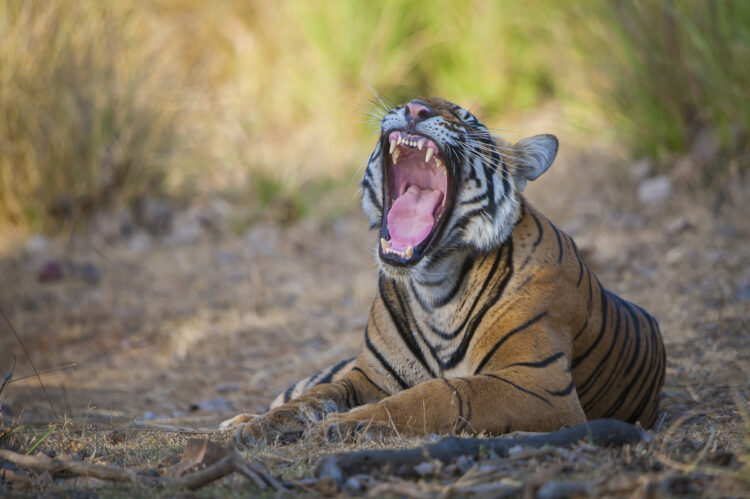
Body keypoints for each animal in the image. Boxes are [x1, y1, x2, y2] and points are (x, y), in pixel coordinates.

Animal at [223, 97, 666, 445]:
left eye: (467, 119)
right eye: (409, 100)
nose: (415, 109)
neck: (433, 285)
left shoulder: (540, 386)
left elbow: (440, 395)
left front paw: (344, 425)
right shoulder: (370, 376)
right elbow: (316, 396)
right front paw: (260, 427)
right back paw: (234, 424)